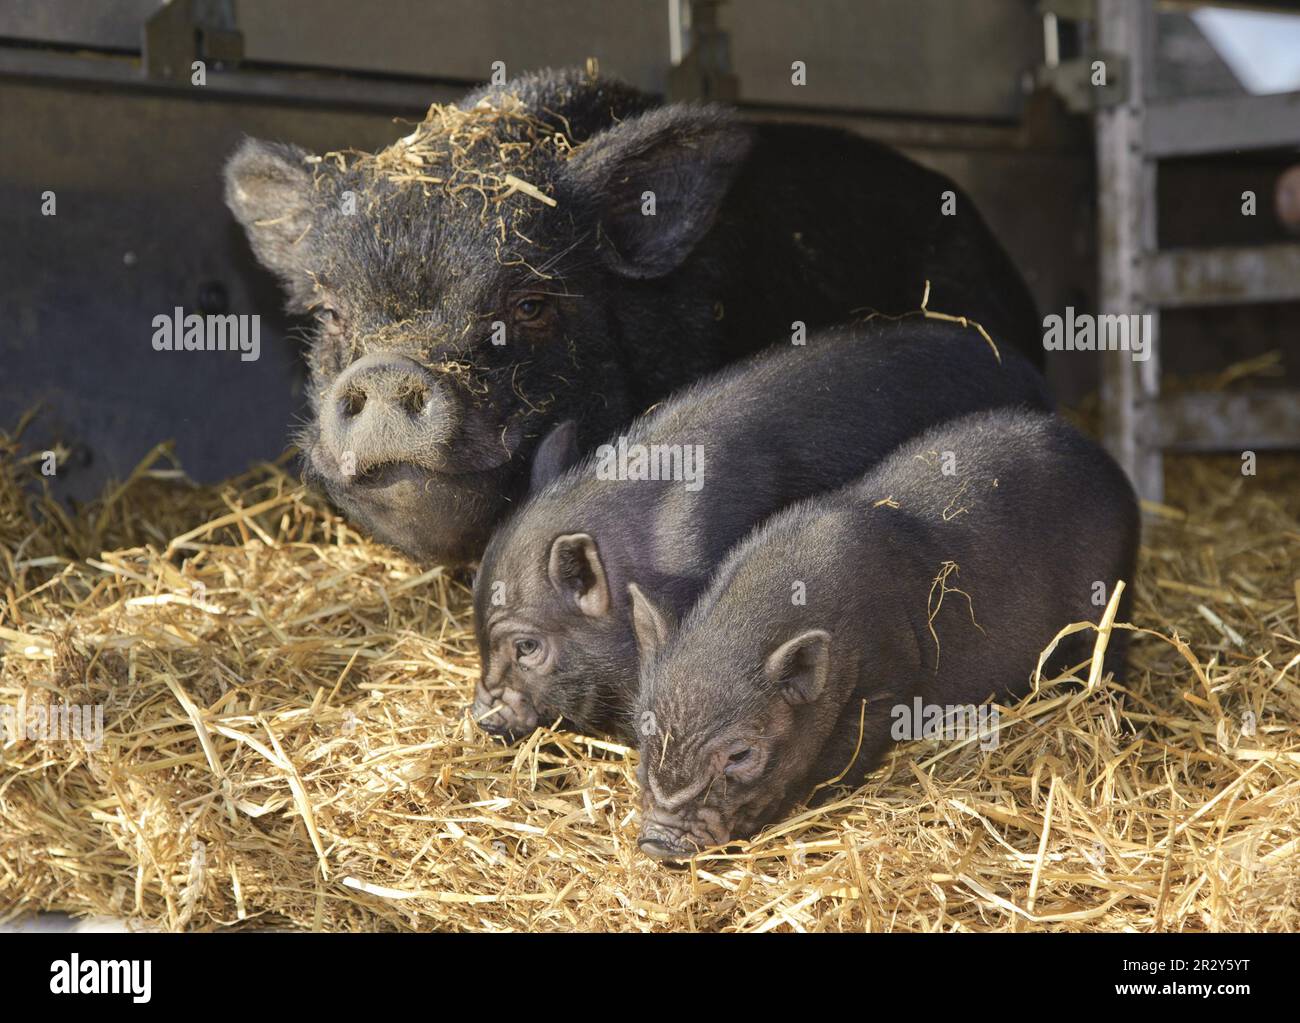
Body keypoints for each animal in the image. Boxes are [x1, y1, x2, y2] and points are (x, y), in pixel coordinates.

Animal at [630, 407, 1139, 860]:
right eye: (642, 730)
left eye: (739, 754)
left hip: (1109, 595)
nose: (657, 843)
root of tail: (1103, 461)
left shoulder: (888, 678)